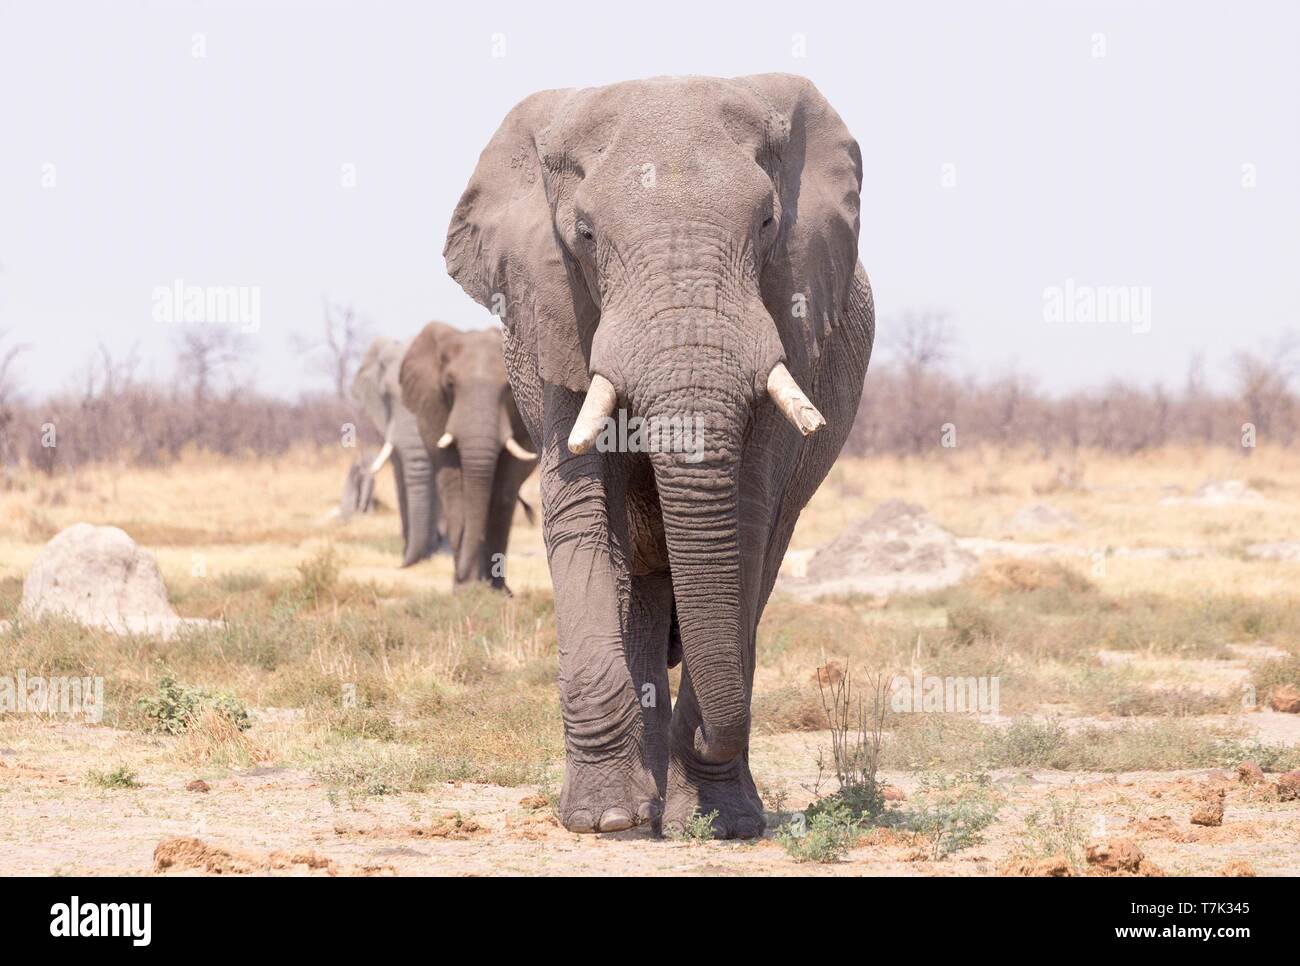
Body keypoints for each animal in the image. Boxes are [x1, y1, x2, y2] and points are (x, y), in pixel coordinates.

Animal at [398, 322, 539, 589]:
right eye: (450, 384)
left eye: (508, 388)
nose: (462, 577)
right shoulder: (433, 407)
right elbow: (454, 487)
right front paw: (465, 589)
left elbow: (503, 492)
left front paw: (494, 591)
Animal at [443, 73, 874, 838]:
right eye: (585, 235)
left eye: (768, 224)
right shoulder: (557, 315)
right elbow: (581, 513)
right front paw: (605, 820)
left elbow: (747, 523)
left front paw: (718, 821)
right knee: (638, 585)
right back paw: (643, 806)